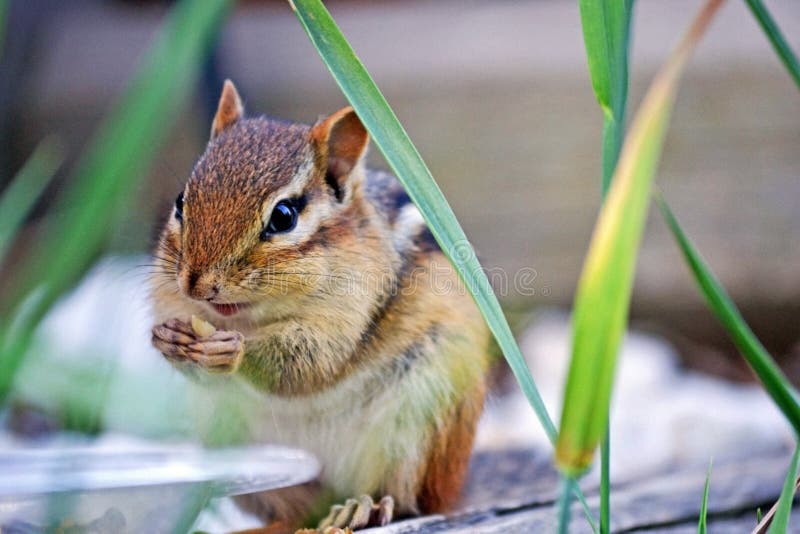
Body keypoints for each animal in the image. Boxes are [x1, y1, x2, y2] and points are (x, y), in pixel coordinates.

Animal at [150, 80, 490, 533]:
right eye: (180, 203)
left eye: (283, 216)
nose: (197, 285)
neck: (253, 316)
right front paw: (168, 339)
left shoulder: (347, 314)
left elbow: (309, 364)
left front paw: (232, 349)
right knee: (294, 510)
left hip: (421, 419)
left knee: (406, 500)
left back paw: (363, 508)